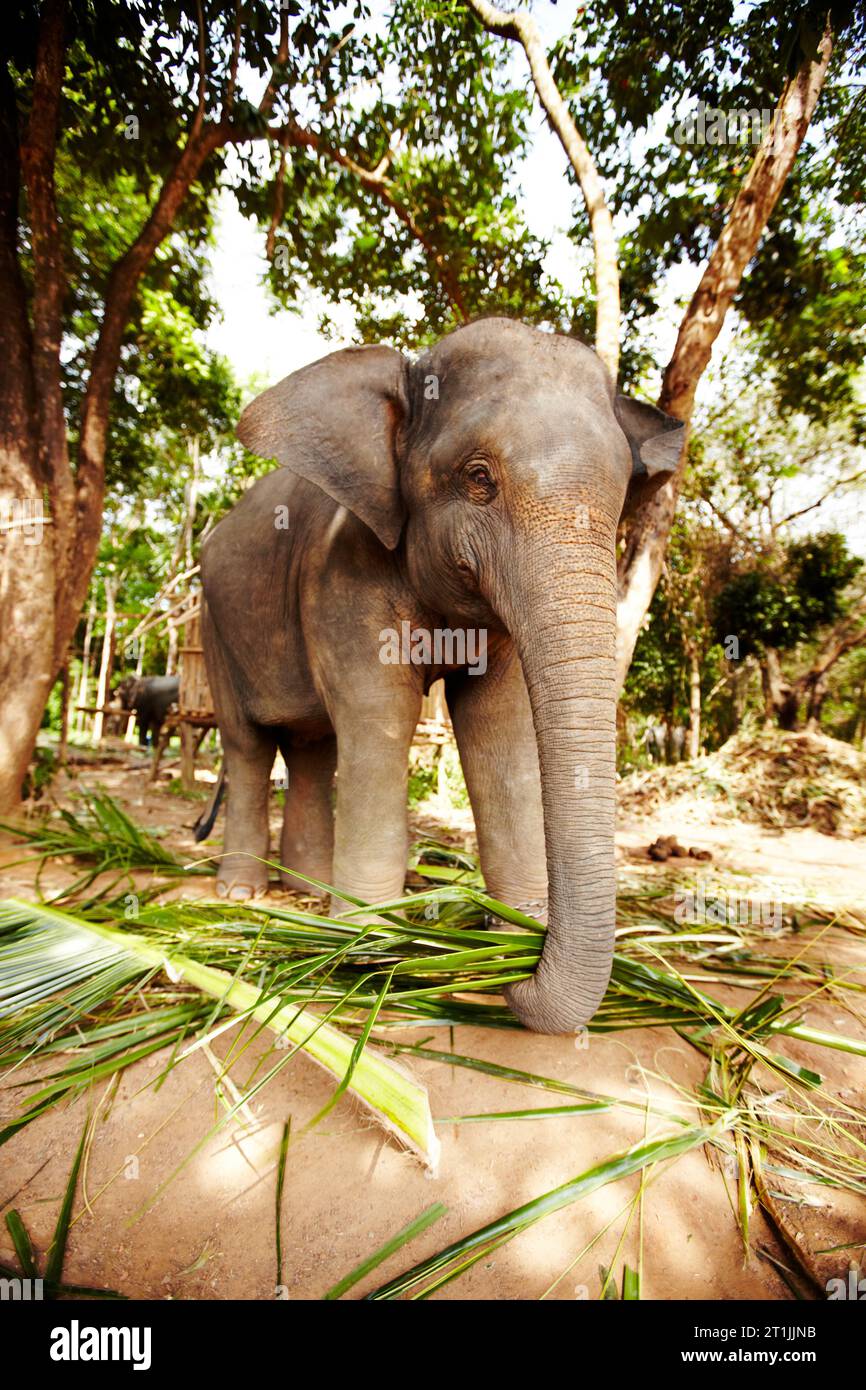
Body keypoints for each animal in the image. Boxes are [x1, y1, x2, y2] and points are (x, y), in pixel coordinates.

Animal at [200, 318, 683, 1033]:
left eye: (625, 491)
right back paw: (243, 893)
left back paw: (306, 892)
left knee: (313, 748)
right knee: (250, 745)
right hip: (213, 625)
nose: (525, 967)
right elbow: (381, 721)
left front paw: (506, 938)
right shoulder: (340, 572)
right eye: (478, 477)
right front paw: (366, 948)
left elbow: (498, 732)